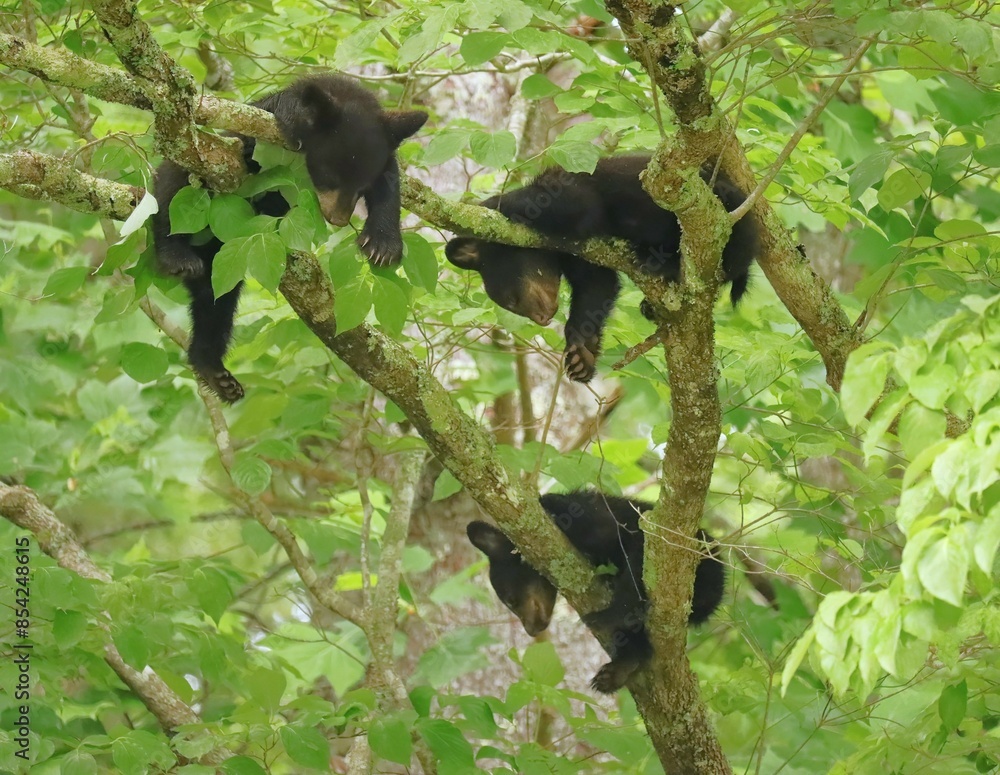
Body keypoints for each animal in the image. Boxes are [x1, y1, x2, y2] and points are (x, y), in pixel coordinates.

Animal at [152, 74, 427, 402]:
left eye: (361, 185)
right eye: (330, 176)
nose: (338, 218)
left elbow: (389, 183)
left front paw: (383, 245)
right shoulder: (258, 128)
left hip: (221, 269)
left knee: (215, 304)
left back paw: (215, 371)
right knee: (173, 182)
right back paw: (175, 255)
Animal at [445, 155, 760, 382]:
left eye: (511, 299)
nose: (542, 318)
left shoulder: (570, 191)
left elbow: (572, 205)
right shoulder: (579, 255)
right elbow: (596, 284)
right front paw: (581, 356)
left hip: (722, 206)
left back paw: (659, 261)